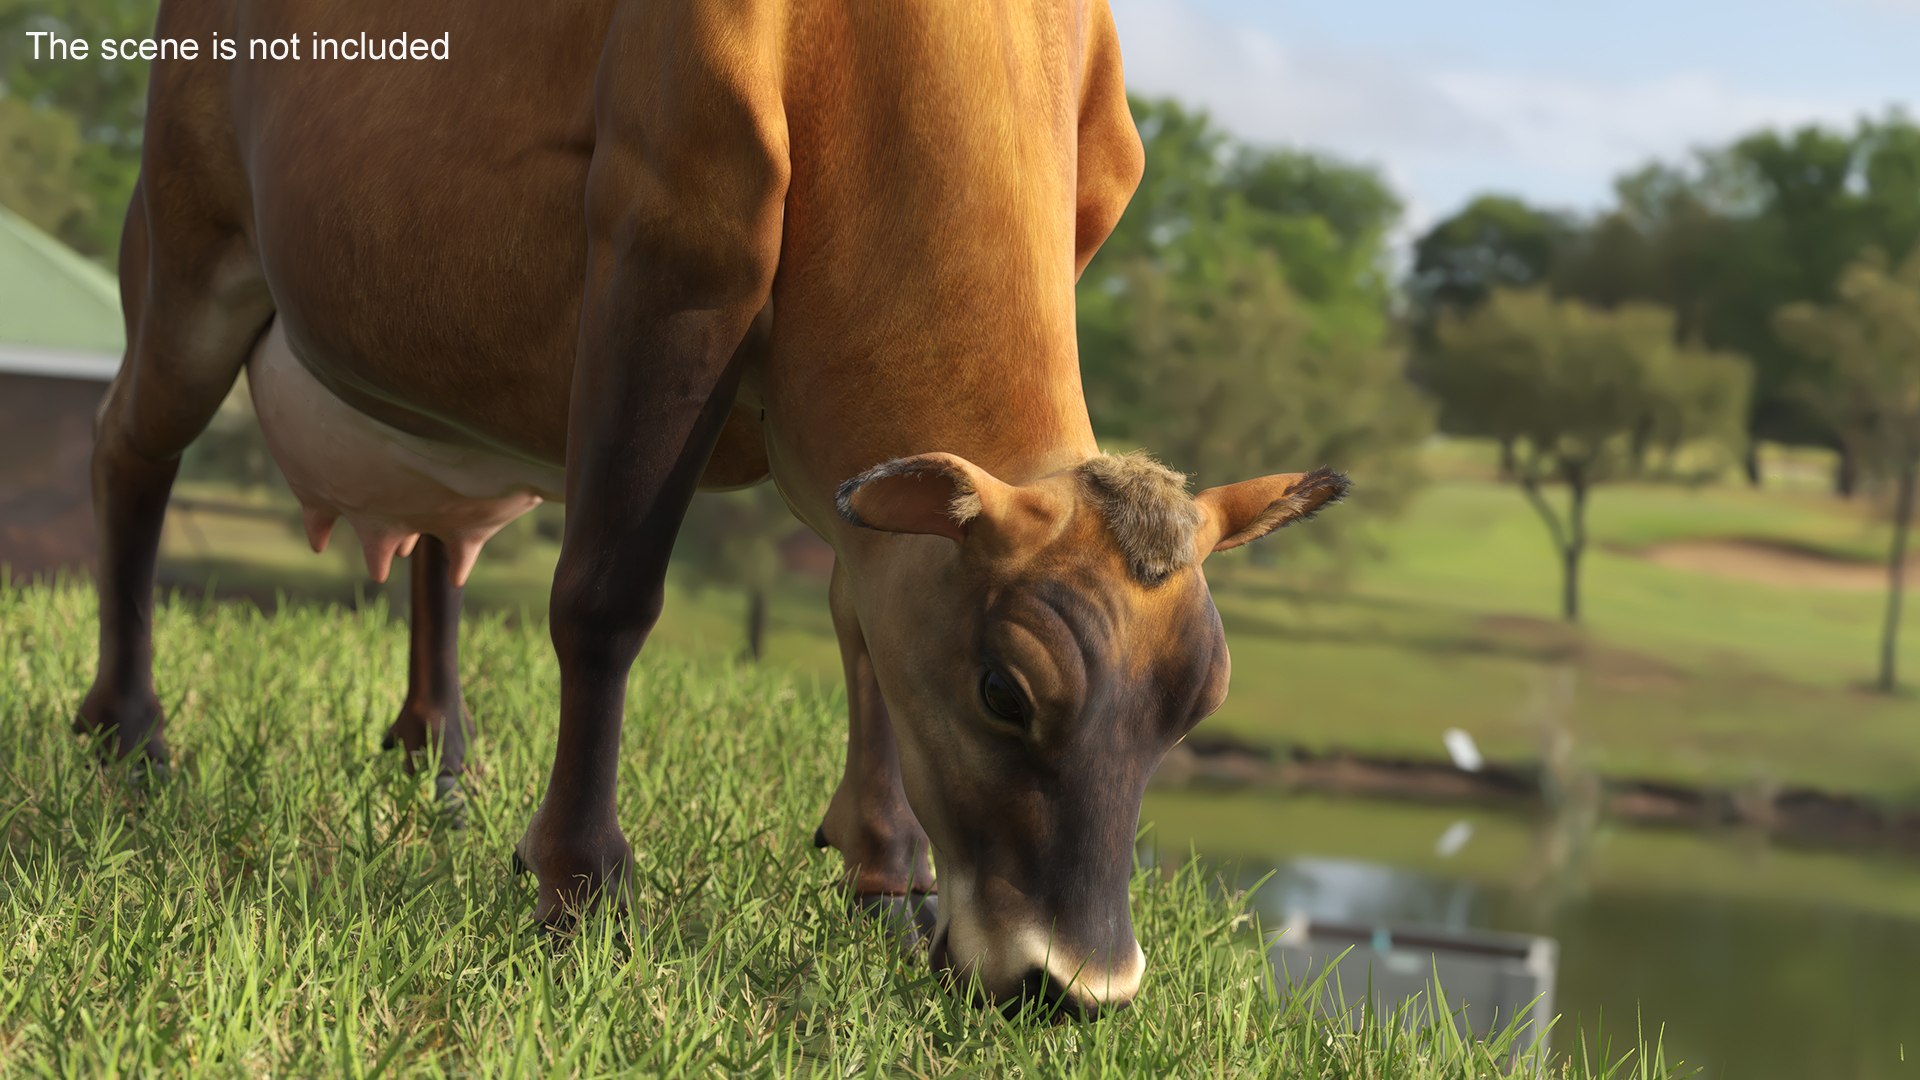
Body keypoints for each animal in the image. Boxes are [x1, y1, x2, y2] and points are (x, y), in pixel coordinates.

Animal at [78, 0, 1348, 1019]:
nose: (1077, 990)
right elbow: (608, 595)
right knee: (131, 449)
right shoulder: (676, 242)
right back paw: (128, 734)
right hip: (186, 242)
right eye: (1006, 690)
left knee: (439, 526)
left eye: (1197, 705)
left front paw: (887, 871)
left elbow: (862, 607)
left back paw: (440, 756)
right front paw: (581, 885)